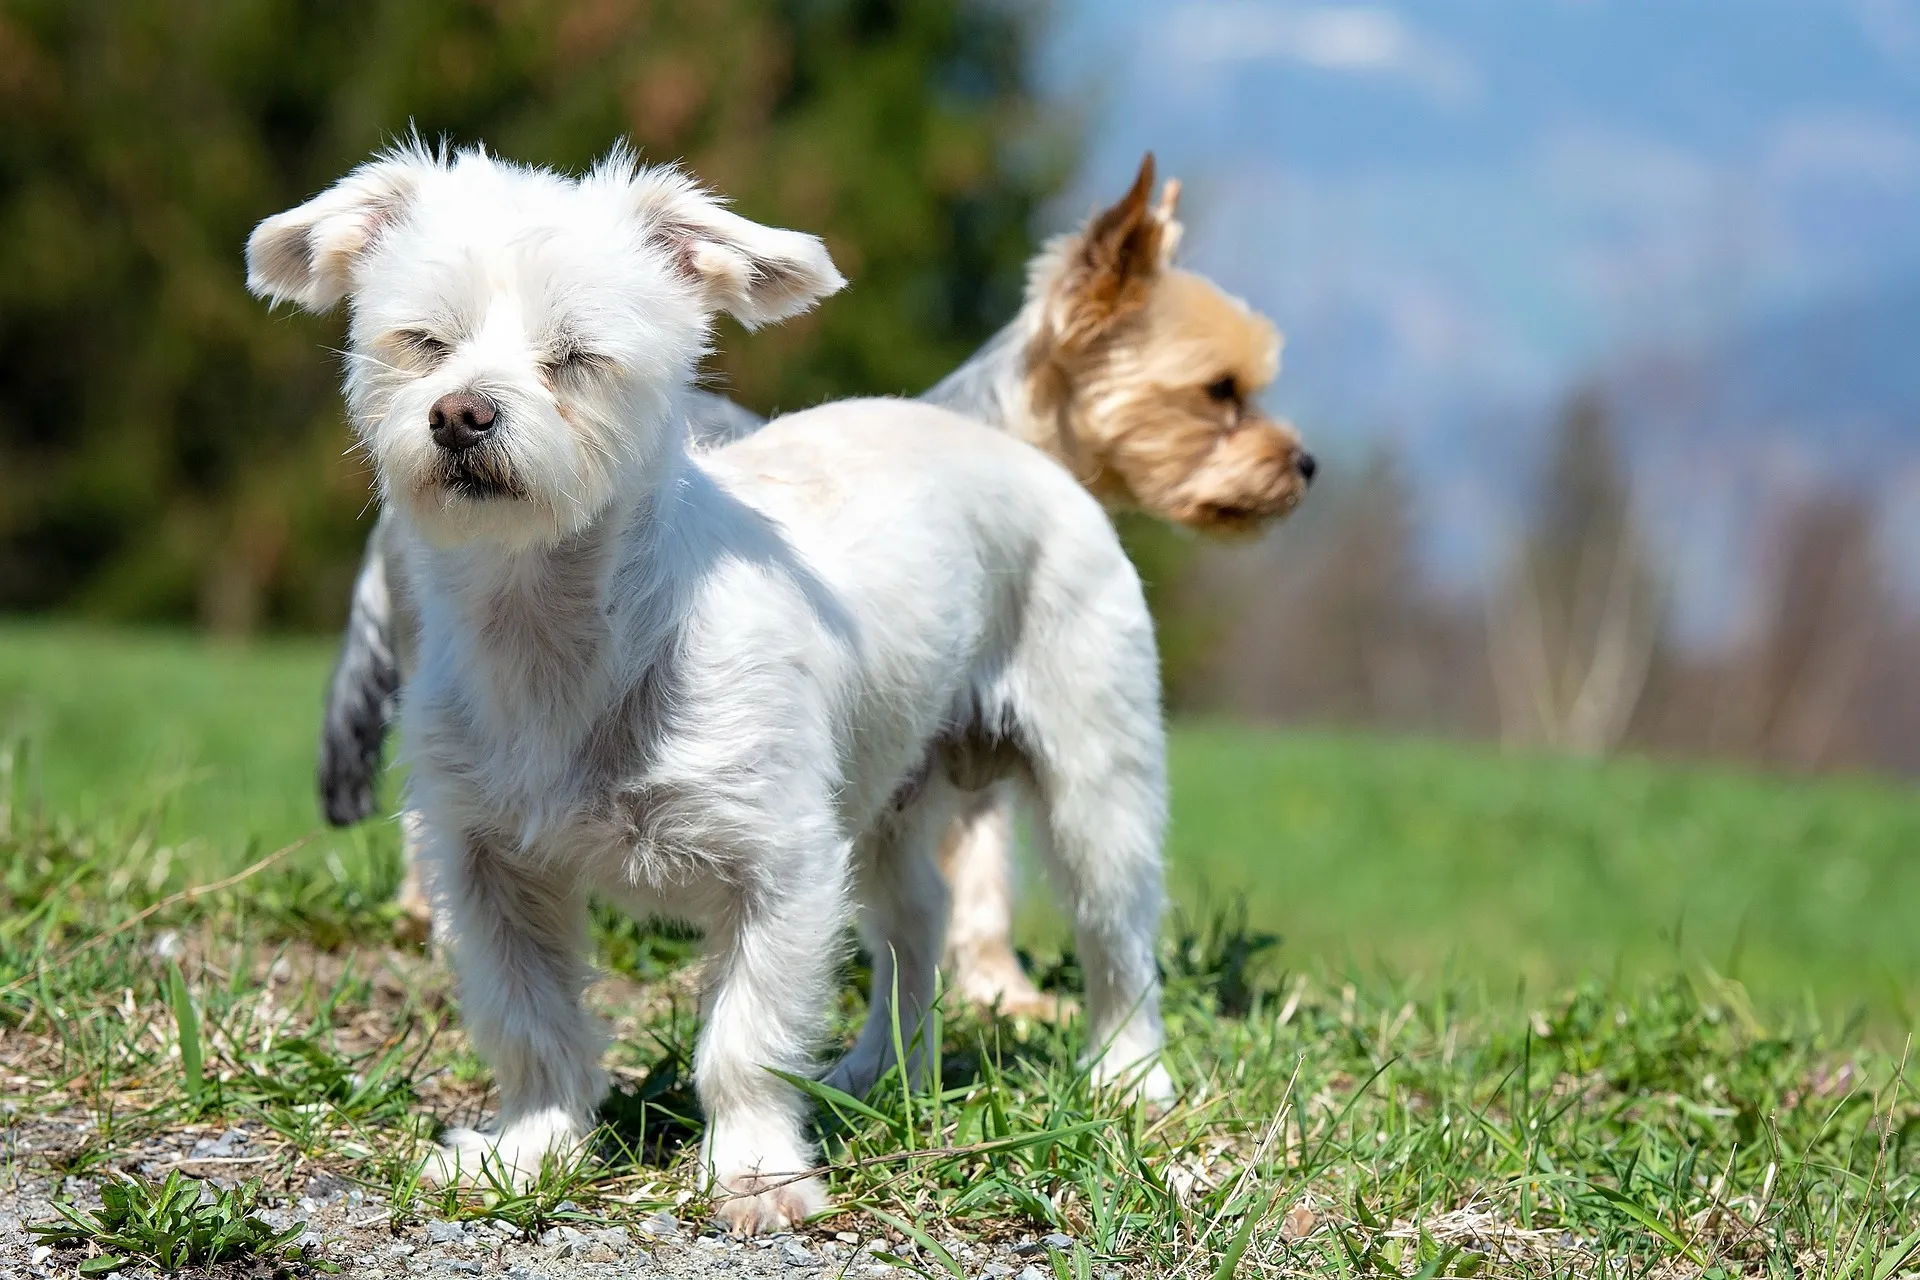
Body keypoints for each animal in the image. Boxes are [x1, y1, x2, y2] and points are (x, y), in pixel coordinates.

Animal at [240, 144, 1167, 1235]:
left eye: (577, 356)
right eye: (425, 342)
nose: (460, 414)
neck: (561, 638)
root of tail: (1019, 451)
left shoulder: (783, 867)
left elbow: (746, 1035)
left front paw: (755, 1173)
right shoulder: (482, 865)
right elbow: (532, 1023)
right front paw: (531, 1149)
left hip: (1094, 780)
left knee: (1116, 936)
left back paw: (1129, 1077)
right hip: (887, 804)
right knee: (915, 928)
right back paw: (879, 1070)